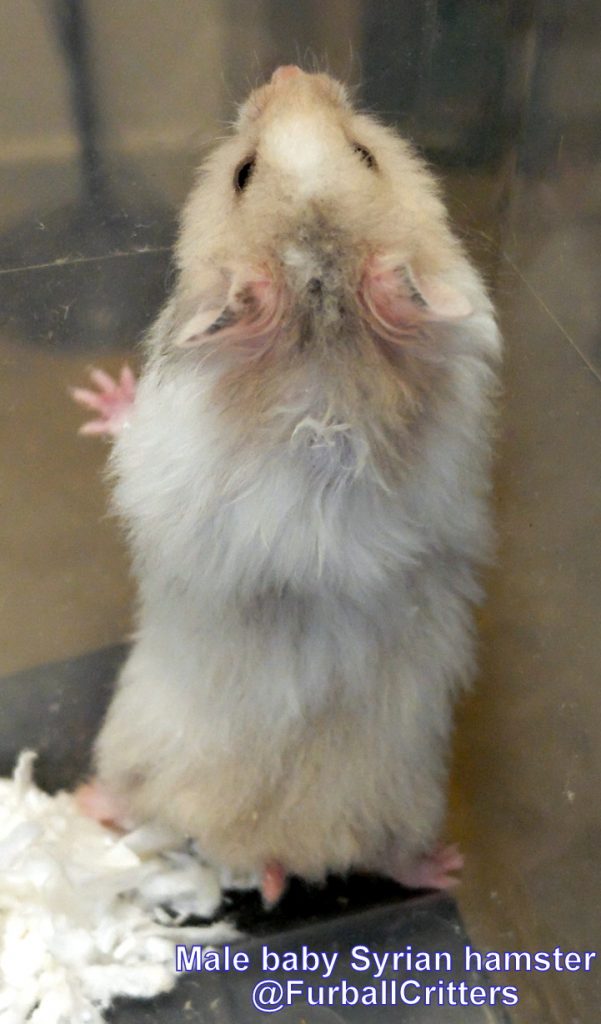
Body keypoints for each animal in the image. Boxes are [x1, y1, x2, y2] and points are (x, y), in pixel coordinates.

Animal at [80, 66, 501, 903]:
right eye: (245, 172)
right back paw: (444, 868)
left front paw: (99, 395)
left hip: (131, 744)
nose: (288, 72)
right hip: (406, 797)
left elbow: (127, 426)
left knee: (123, 796)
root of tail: (273, 844)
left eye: (363, 151)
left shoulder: (155, 439)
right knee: (391, 856)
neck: (326, 345)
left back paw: (85, 801)